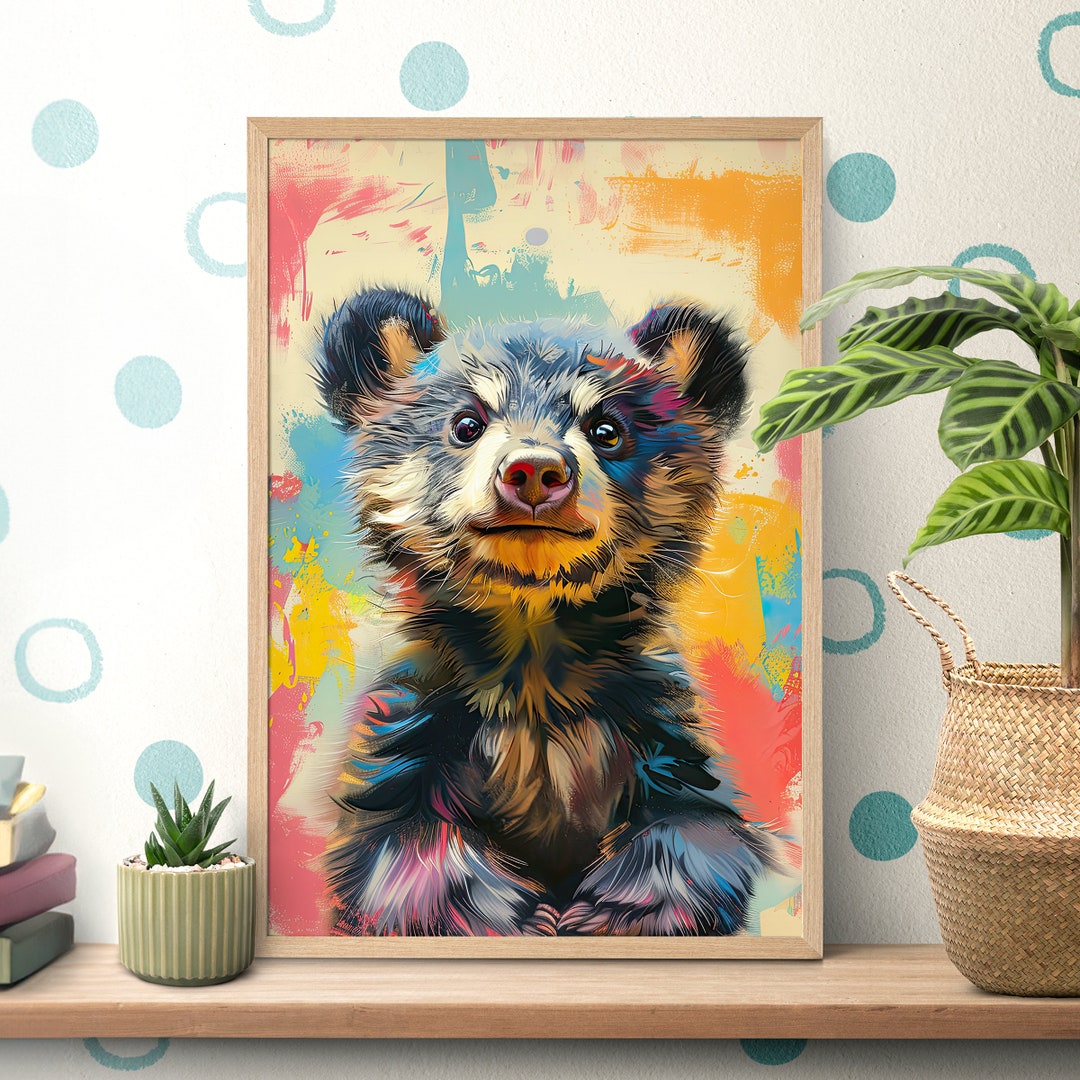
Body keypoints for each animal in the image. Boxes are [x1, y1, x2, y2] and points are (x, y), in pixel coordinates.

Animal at [313, 287, 782, 936]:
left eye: (606, 429)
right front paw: (521, 916)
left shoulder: (655, 726)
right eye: (466, 424)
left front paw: (602, 913)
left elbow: (698, 828)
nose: (535, 471)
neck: (534, 641)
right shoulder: (418, 723)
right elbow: (397, 845)